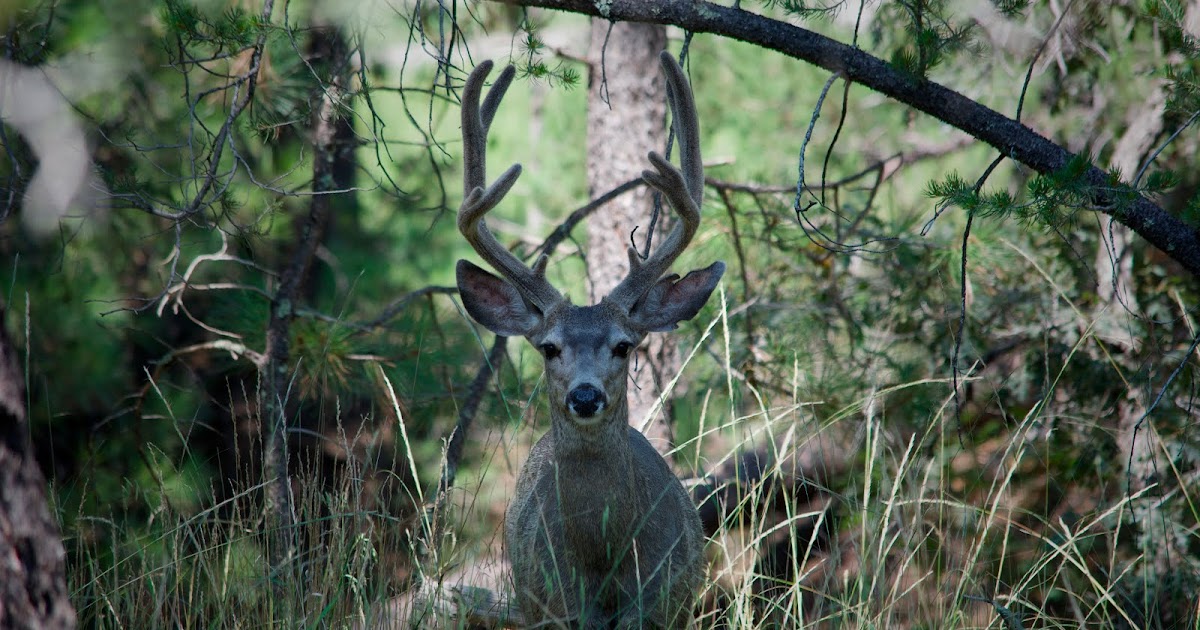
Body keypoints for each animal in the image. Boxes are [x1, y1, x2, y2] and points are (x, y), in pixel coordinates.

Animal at [454, 52, 722, 628]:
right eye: (548, 346)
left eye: (624, 345)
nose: (584, 395)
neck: (603, 563)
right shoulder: (556, 606)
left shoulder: (662, 604)